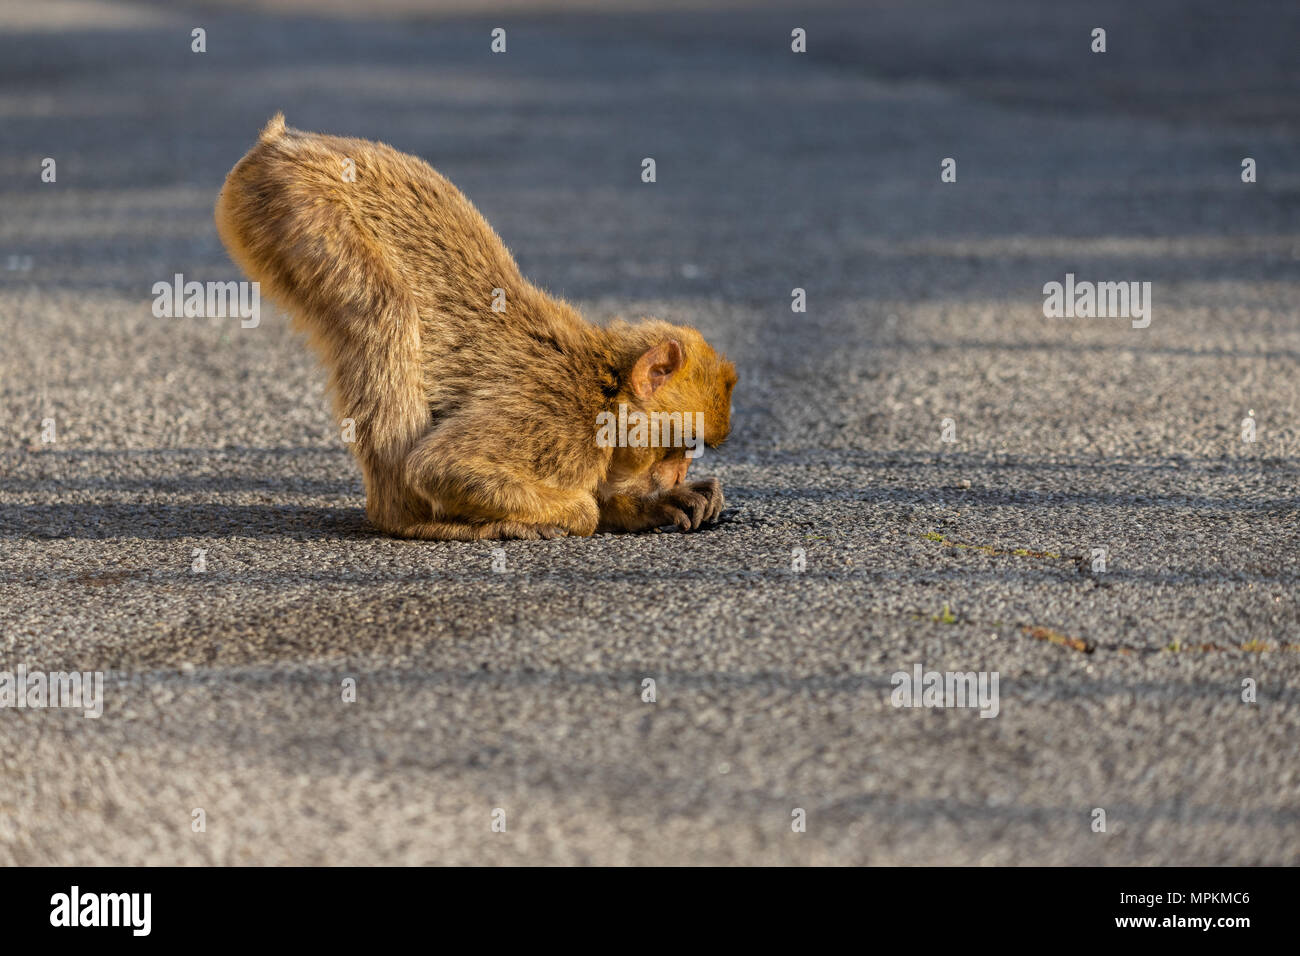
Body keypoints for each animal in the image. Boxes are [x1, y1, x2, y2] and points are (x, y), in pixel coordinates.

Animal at [214, 114, 737, 541]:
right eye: (680, 448)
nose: (675, 474)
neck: (605, 384)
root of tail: (282, 140)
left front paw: (654, 505)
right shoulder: (562, 428)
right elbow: (439, 467)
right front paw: (579, 512)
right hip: (295, 202)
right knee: (386, 315)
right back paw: (408, 518)